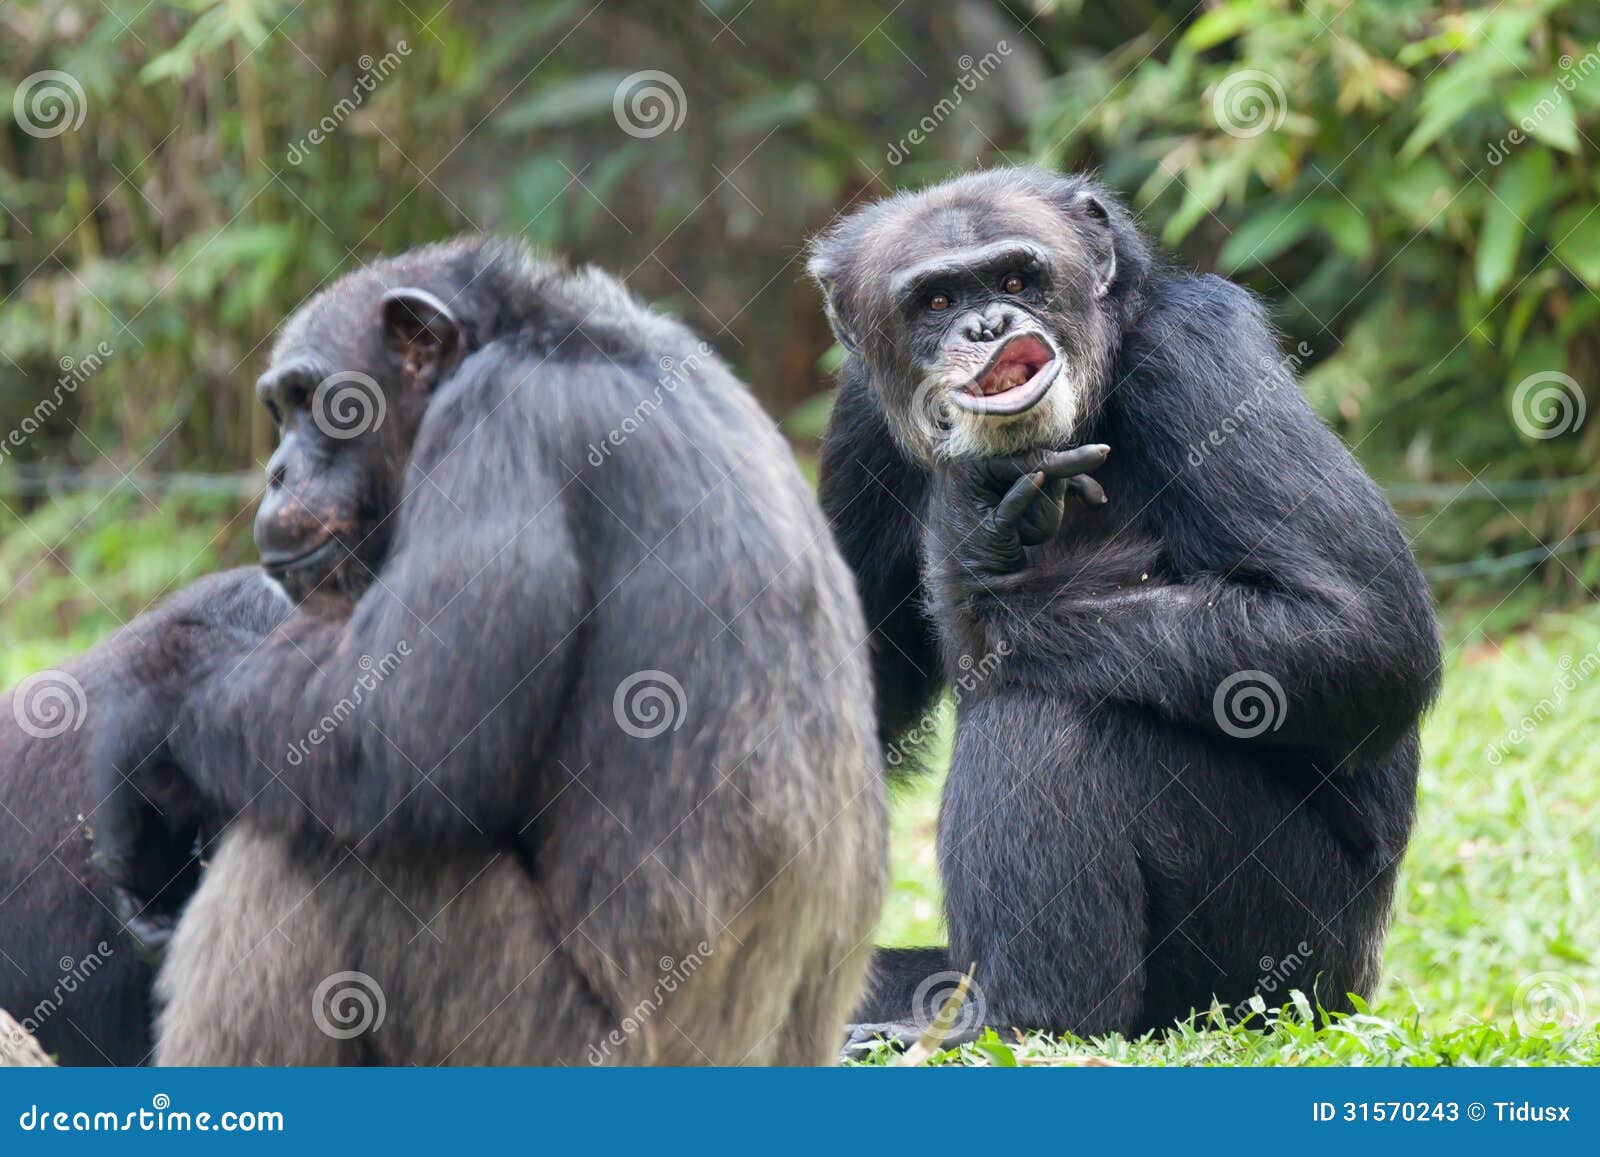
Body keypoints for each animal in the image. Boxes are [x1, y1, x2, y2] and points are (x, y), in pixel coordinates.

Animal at [808, 167, 1440, 1051]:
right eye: (934, 300)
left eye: (1016, 279)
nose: (989, 324)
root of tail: (1359, 983)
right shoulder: (859, 422)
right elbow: (853, 692)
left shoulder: (1198, 355)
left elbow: (1360, 624)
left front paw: (975, 567)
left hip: (1290, 963)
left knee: (1052, 708)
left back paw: (1017, 1012)